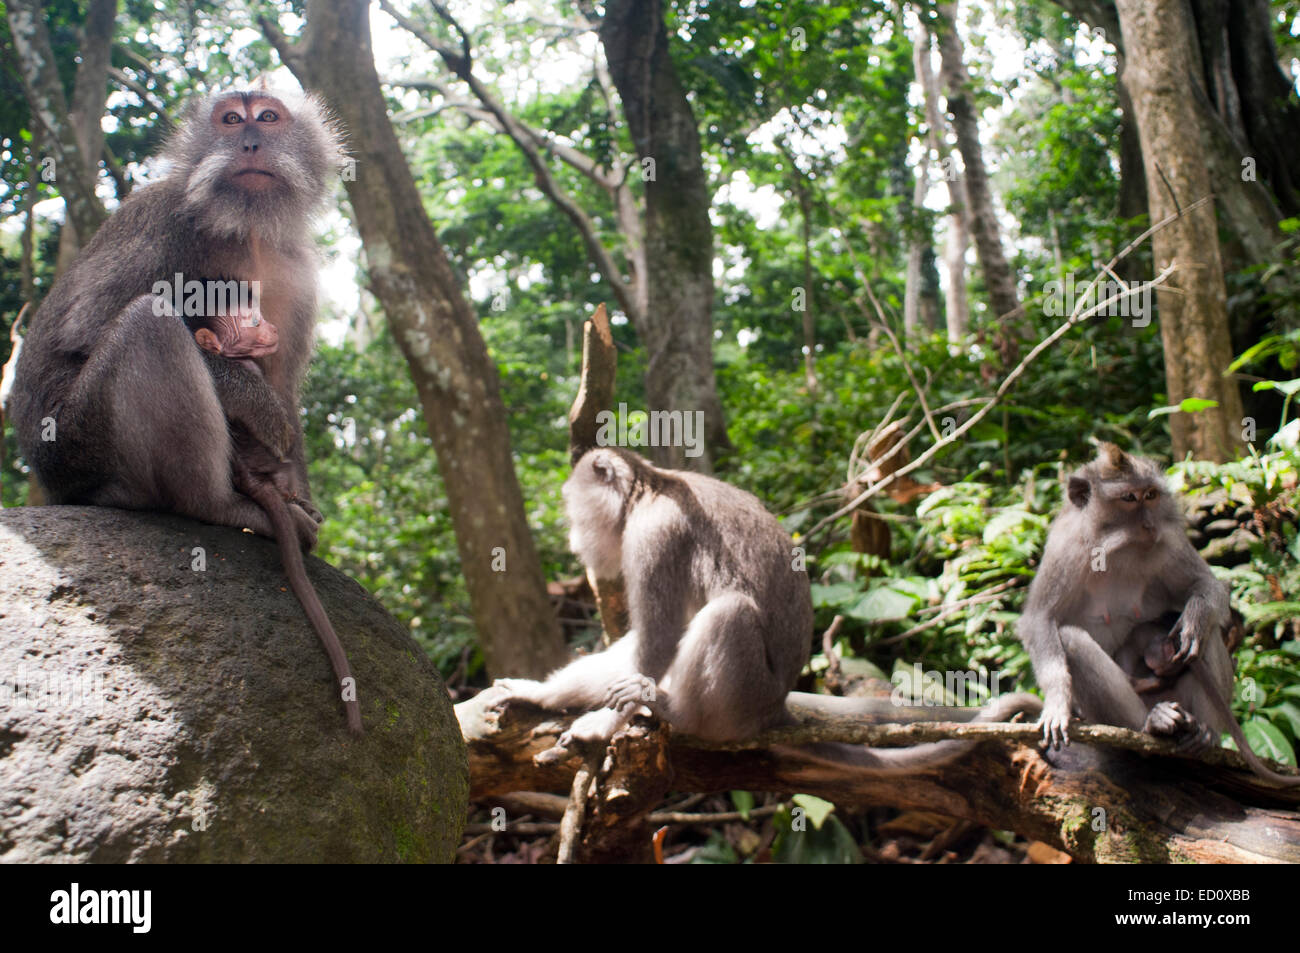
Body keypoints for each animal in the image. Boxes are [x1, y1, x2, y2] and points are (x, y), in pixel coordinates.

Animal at [493, 447, 1039, 770]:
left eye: (572, 512)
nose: (572, 541)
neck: (650, 490)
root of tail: (773, 711)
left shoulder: (657, 535)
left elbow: (657, 642)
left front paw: (605, 723)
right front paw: (540, 693)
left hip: (742, 698)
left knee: (729, 614)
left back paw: (677, 713)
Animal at [1018, 443, 1299, 785]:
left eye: (1150, 495)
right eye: (1129, 498)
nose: (1149, 526)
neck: (1112, 550)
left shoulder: (1169, 542)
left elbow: (1206, 587)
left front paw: (1193, 620)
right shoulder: (1064, 551)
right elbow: (1040, 620)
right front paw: (1057, 703)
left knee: (1204, 638)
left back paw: (1204, 730)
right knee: (1072, 639)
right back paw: (1151, 724)